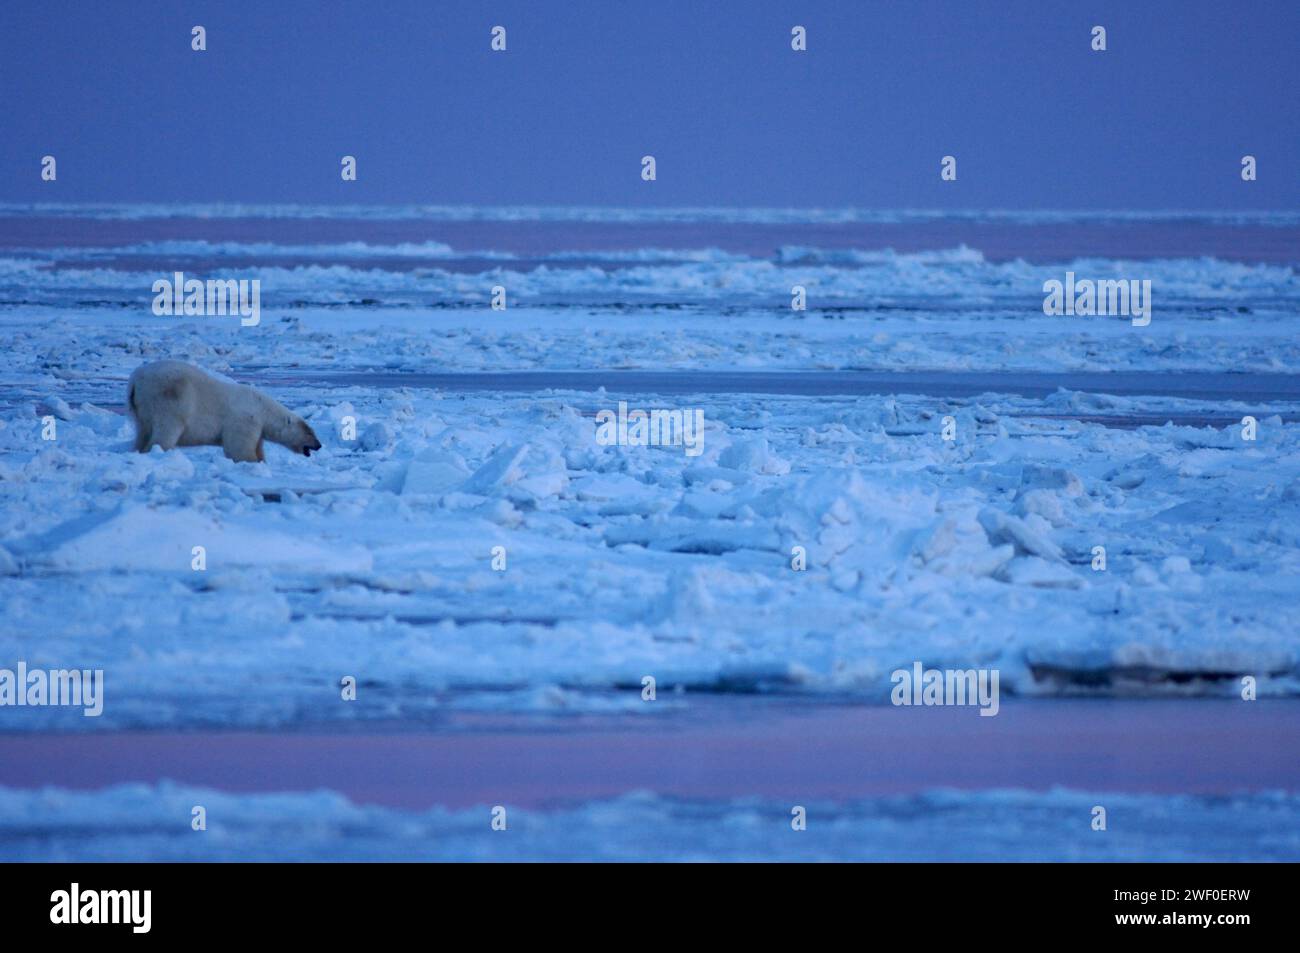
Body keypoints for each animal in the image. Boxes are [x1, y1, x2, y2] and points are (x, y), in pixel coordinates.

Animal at [128, 360, 321, 463]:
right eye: (309, 432)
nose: (319, 445)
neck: (263, 409)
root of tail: (135, 380)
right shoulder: (246, 420)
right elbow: (239, 447)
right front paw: (251, 462)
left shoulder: (257, 428)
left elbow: (257, 446)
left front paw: (261, 461)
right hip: (169, 398)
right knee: (167, 429)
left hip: (140, 409)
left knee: (142, 430)